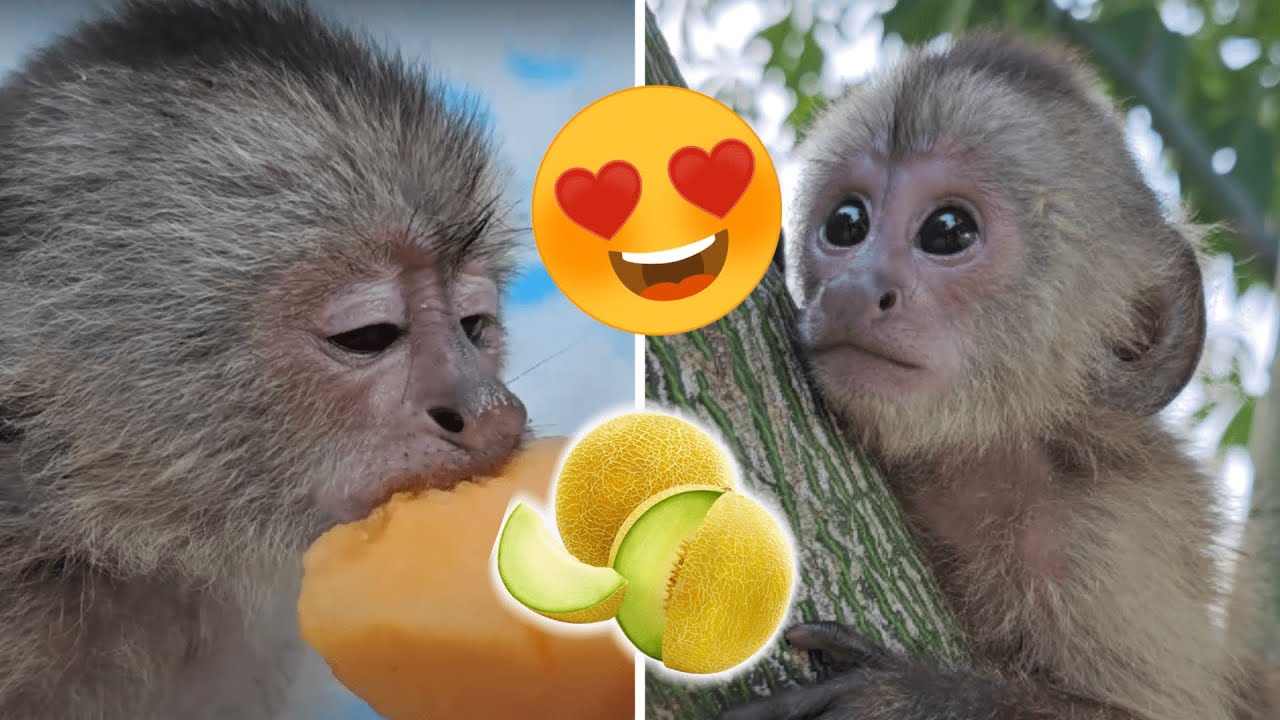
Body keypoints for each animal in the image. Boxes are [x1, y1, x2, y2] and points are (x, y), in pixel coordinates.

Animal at [724, 32, 1278, 720]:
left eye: (948, 231)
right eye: (846, 224)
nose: (852, 289)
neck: (982, 458)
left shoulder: (1106, 537)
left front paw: (910, 696)